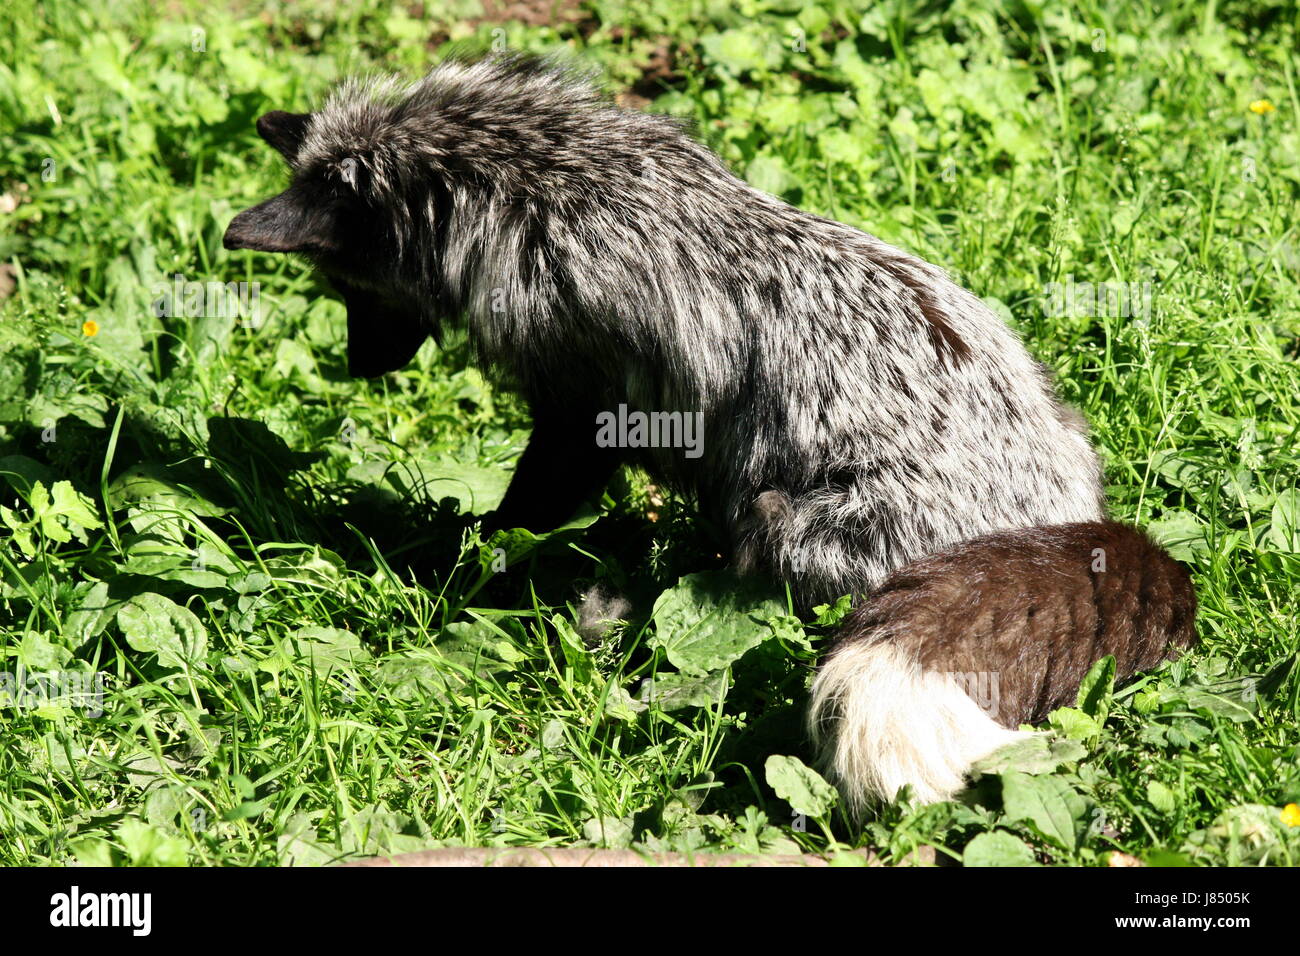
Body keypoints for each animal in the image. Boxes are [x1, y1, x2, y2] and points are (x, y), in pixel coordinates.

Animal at [223, 54, 1197, 813]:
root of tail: (1077, 530)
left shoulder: (581, 418)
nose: (359, 371)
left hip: (775, 521)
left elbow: (513, 525)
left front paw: (446, 582)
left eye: (347, 286)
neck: (549, 188)